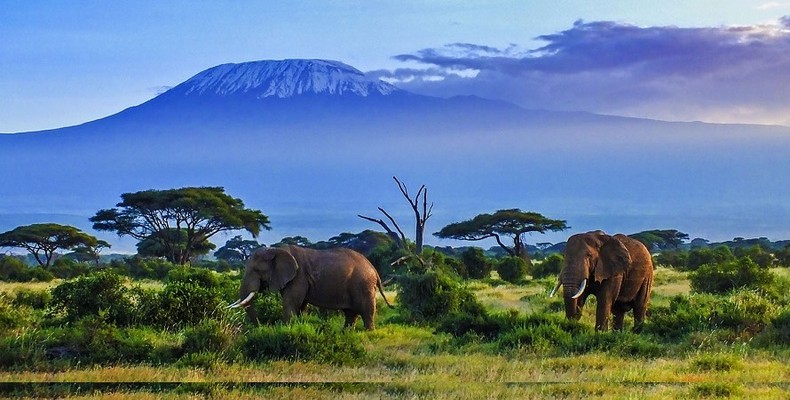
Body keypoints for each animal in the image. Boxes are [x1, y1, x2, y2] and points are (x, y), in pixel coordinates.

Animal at [229, 245, 392, 330]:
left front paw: (286, 329)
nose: (261, 327)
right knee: (350, 312)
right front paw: (297, 326)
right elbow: (300, 306)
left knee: (366, 310)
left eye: (257, 270)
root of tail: (373, 268)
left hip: (363, 284)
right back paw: (346, 332)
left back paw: (369, 333)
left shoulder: (298, 277)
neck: (275, 250)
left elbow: (291, 303)